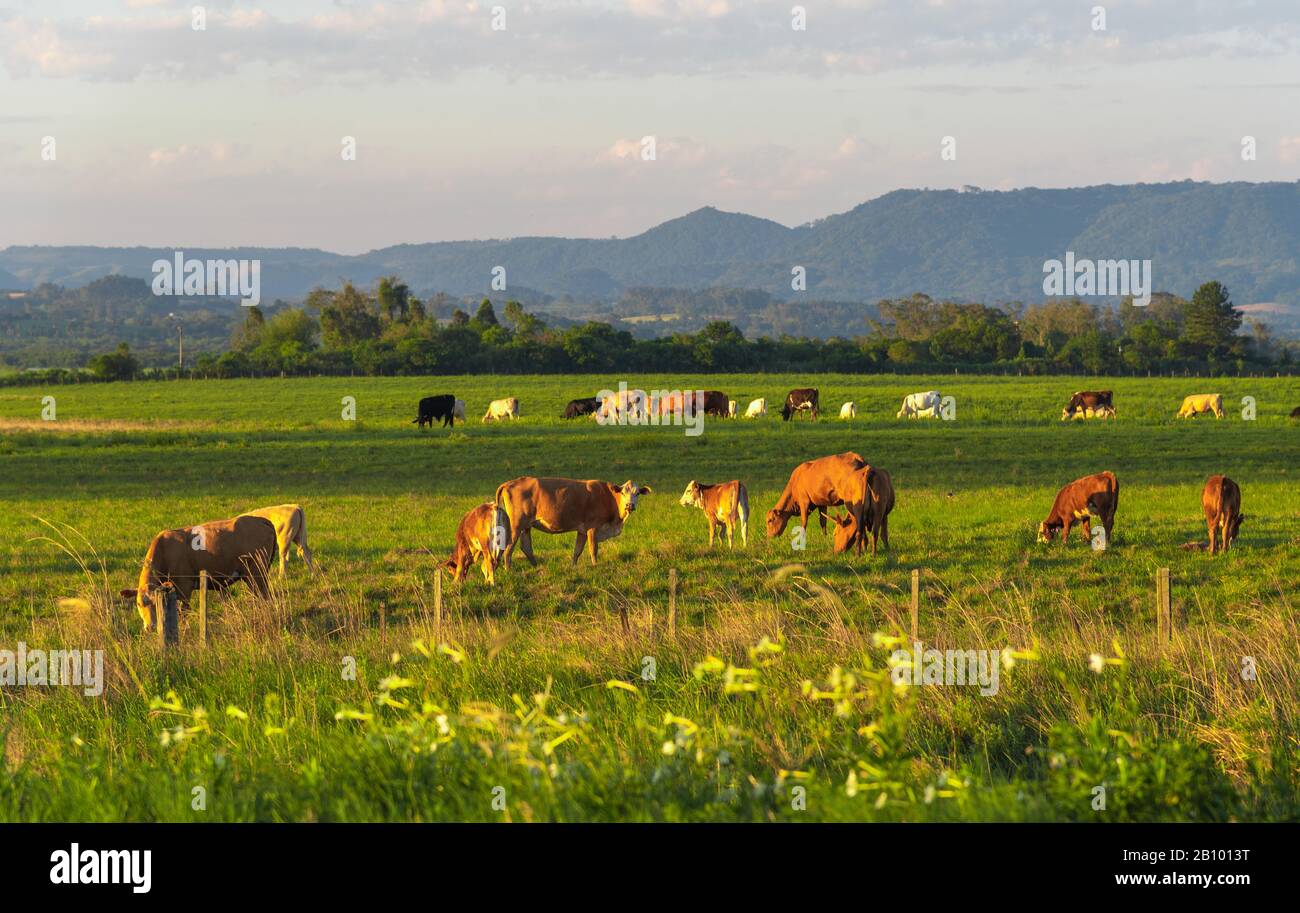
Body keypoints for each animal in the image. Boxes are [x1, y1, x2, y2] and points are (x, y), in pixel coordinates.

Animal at [119, 515, 277, 632]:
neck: (165, 550)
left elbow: (183, 612)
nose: (150, 627)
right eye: (138, 604)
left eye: (156, 603)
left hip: (256, 575)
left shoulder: (184, 587)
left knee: (265, 598)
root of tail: (260, 519)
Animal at [495, 477, 652, 566]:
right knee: (508, 548)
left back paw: (535, 566)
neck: (609, 498)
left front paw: (574, 566)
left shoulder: (582, 531)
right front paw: (595, 566)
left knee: (526, 547)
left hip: (526, 526)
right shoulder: (593, 528)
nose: (630, 505)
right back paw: (508, 569)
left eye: (638, 493)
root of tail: (511, 483)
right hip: (516, 525)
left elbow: (577, 551)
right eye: (623, 492)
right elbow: (593, 549)